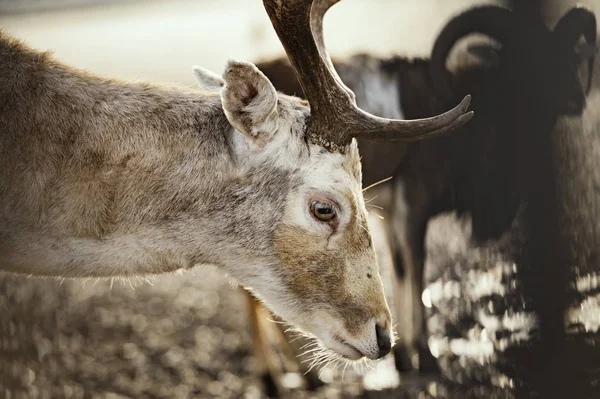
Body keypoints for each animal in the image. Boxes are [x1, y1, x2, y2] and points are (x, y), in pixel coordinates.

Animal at [229, 3, 596, 390]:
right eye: (528, 62)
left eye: (568, 56)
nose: (576, 99)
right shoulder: (413, 204)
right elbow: (416, 267)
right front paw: (427, 358)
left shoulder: (391, 213)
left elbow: (402, 268)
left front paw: (404, 359)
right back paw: (293, 377)